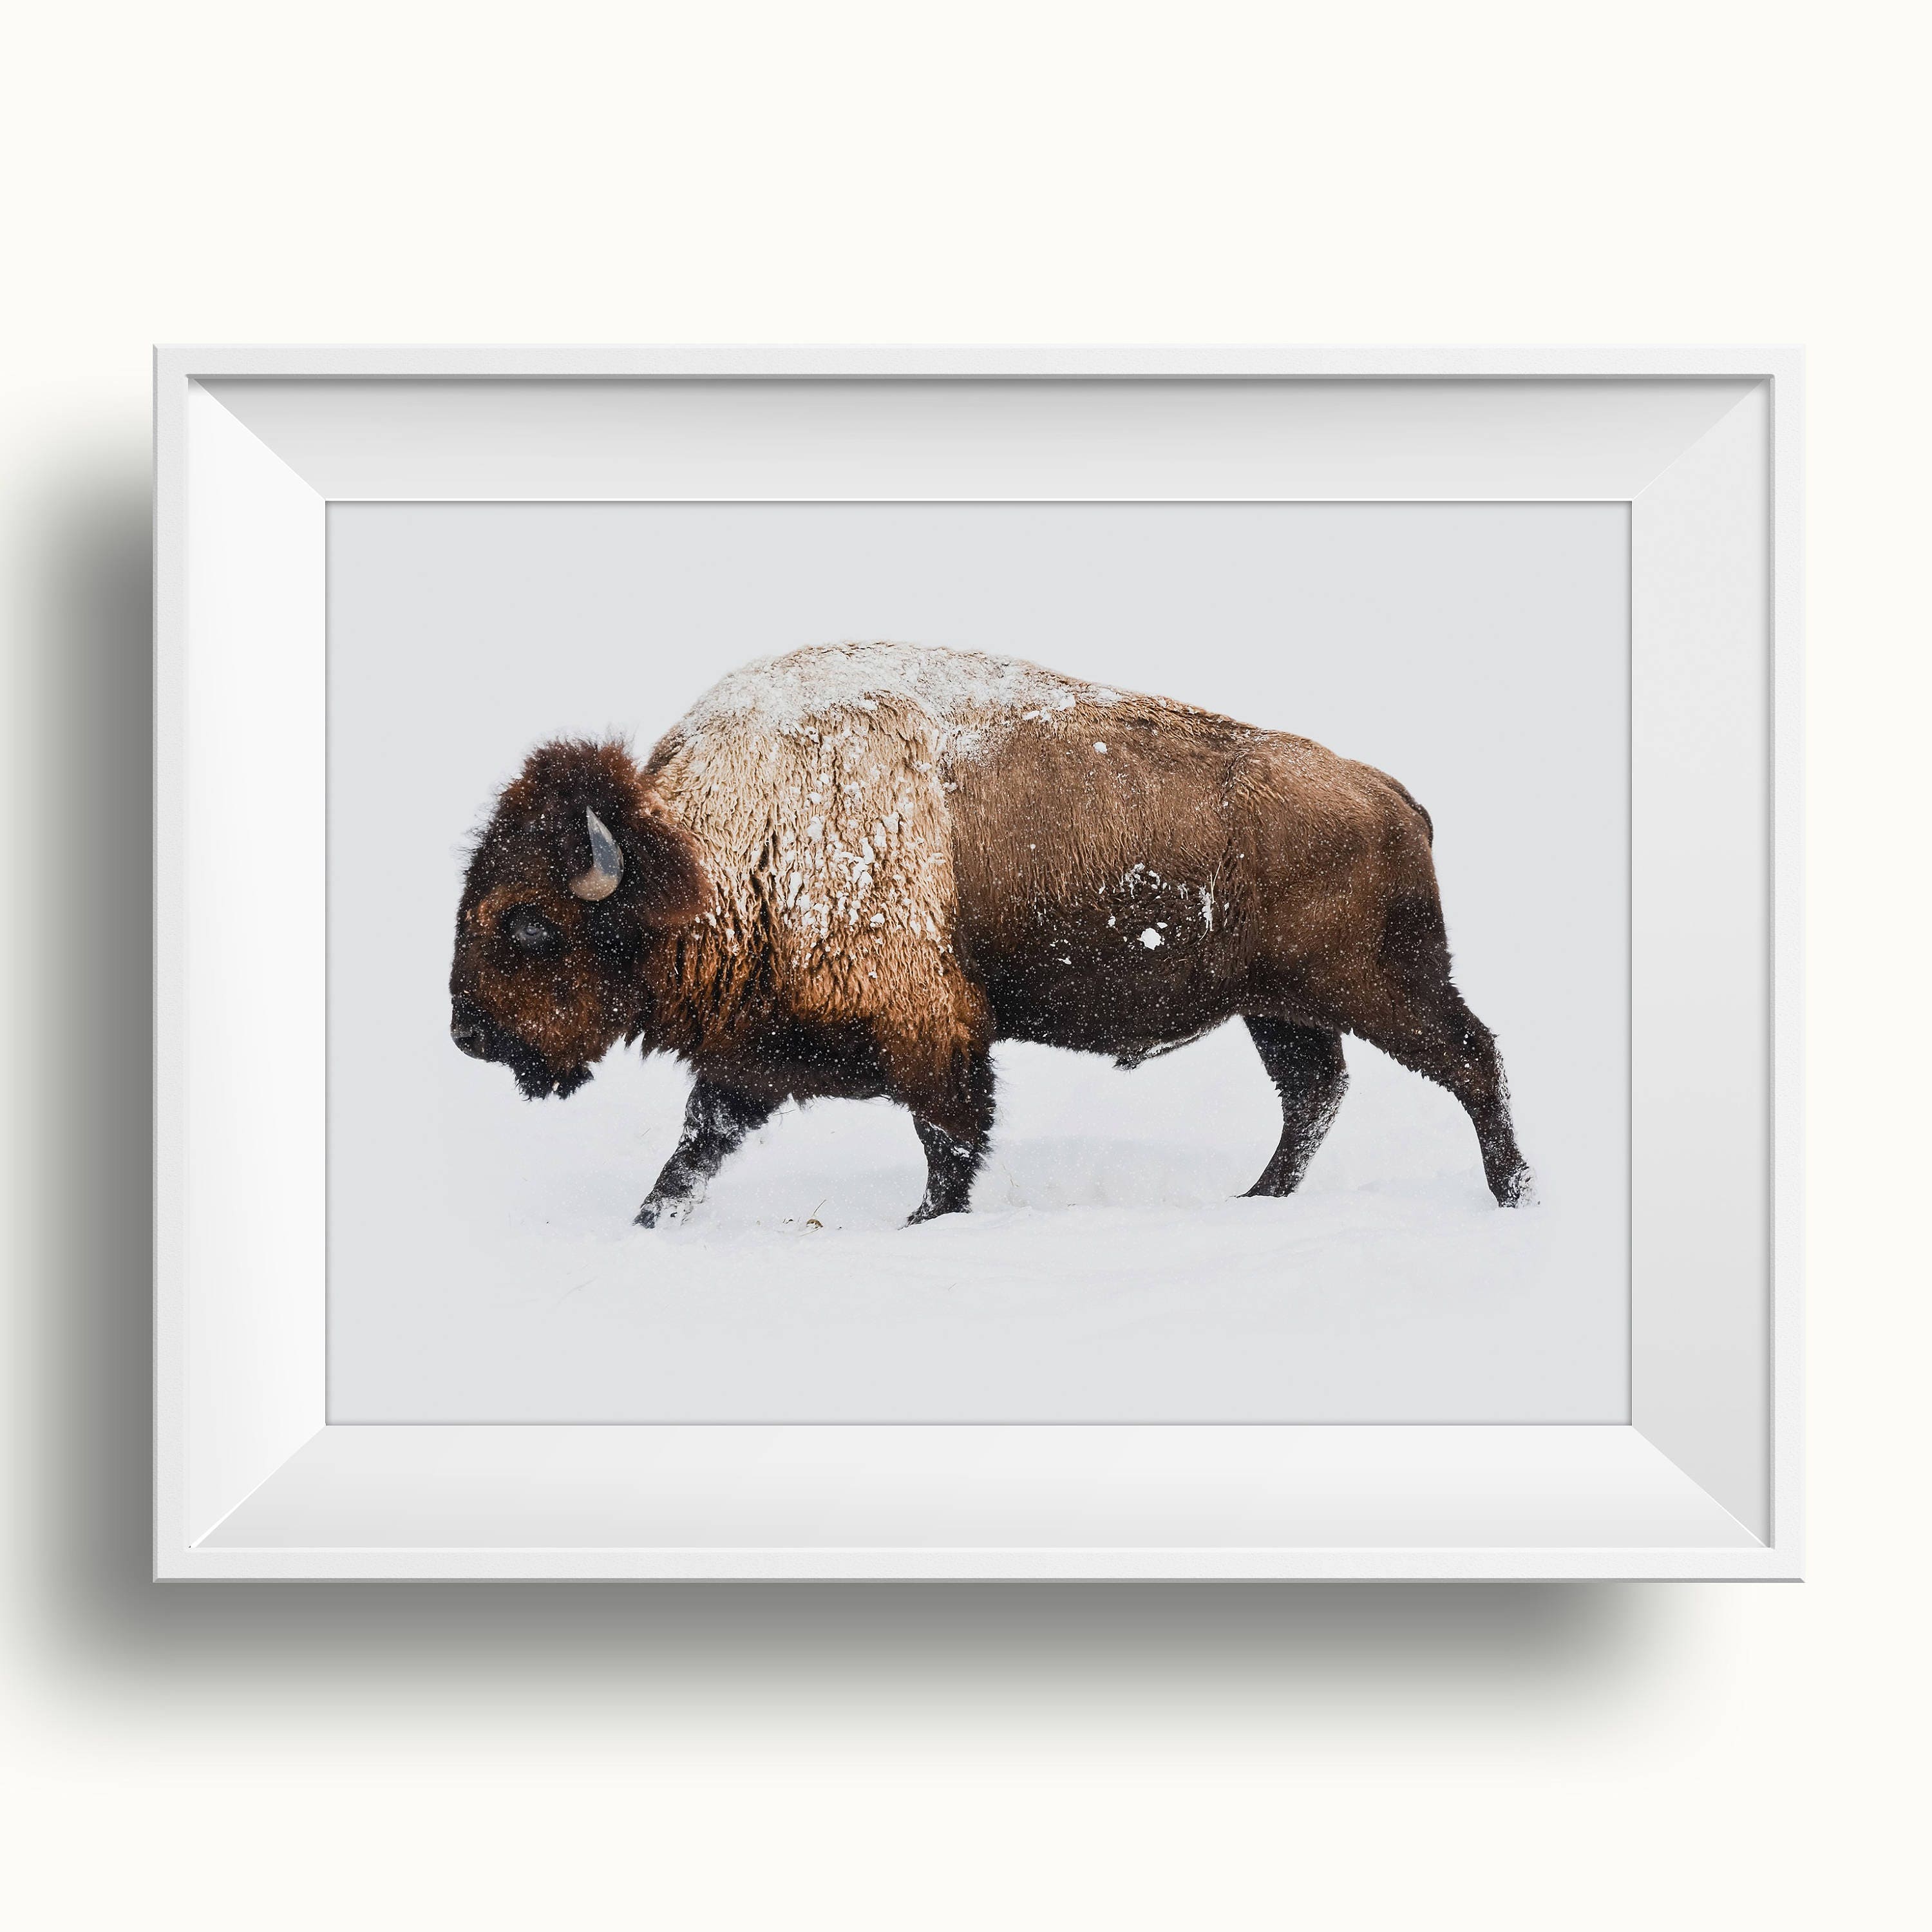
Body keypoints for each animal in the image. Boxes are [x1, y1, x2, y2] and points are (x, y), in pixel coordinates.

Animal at [449, 642, 1532, 1224]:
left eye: (529, 922)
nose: (467, 1034)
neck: (706, 849)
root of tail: (1387, 793)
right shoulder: (751, 1059)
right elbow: (691, 1156)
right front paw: (645, 1226)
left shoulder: (935, 1038)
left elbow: (949, 1149)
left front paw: (922, 1224)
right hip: (1280, 1011)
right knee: (1315, 1095)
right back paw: (1256, 1200)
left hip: (1383, 989)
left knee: (1470, 1060)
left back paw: (1511, 1193)